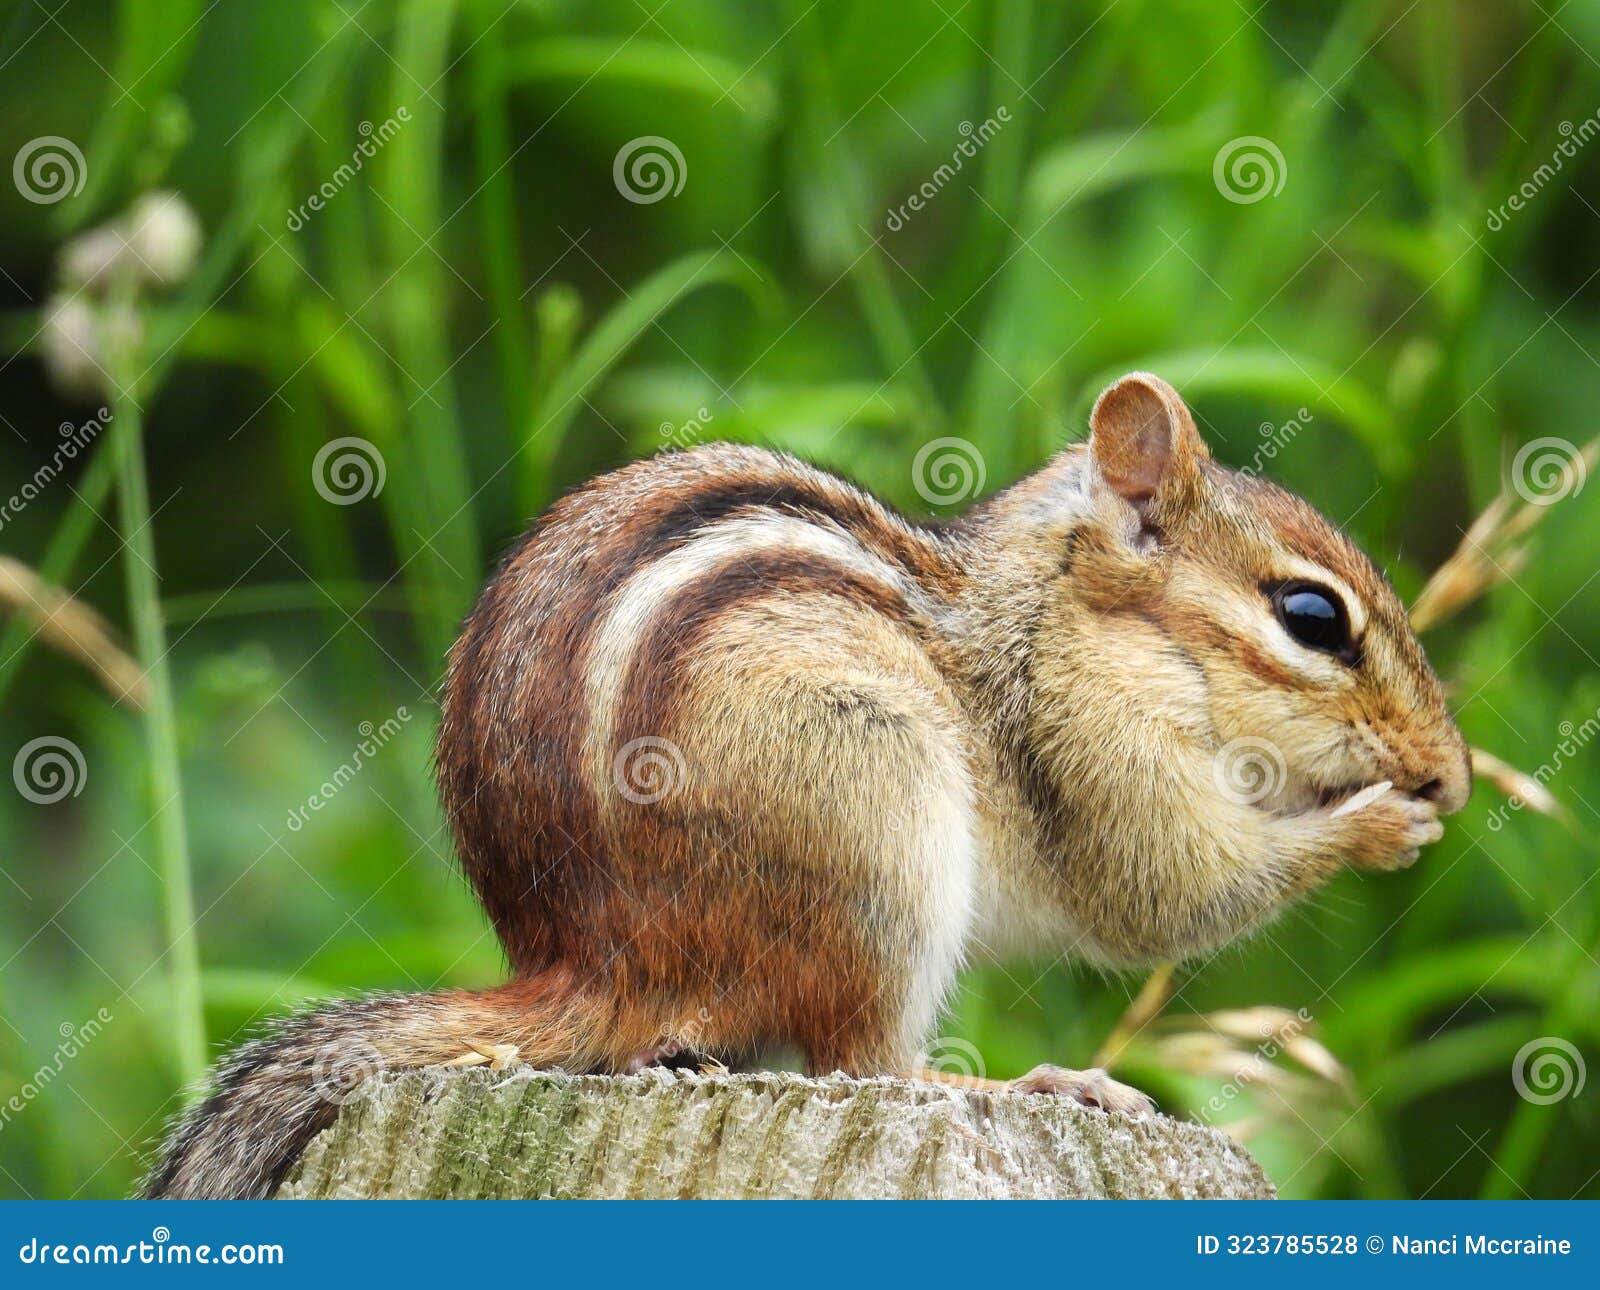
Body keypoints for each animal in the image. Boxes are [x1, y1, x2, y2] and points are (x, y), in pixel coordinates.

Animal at [143, 372, 1469, 1198]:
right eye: (1310, 618)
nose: (1452, 778)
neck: (1063, 617)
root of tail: (593, 964)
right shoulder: (1100, 754)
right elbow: (1162, 893)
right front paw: (1373, 826)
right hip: (877, 827)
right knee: (860, 1063)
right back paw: (1023, 1079)